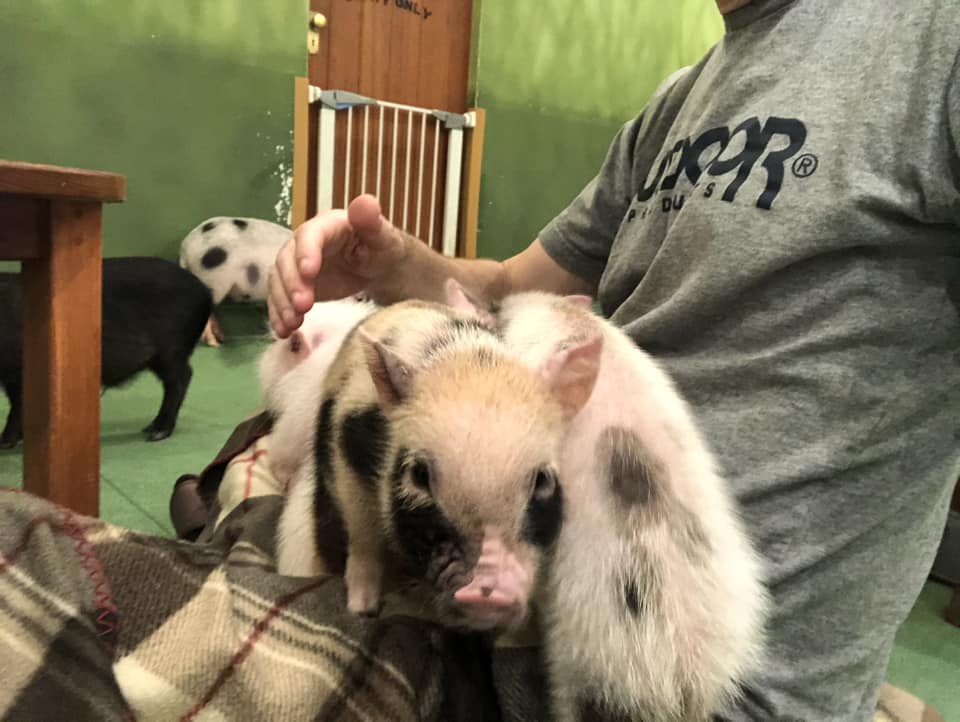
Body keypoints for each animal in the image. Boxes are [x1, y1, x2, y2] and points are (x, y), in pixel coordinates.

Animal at [0, 256, 212, 447]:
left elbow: (18, 404)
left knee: (181, 379)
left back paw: (156, 433)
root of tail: (205, 291)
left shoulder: (19, 371)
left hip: (171, 351)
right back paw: (149, 428)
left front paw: (5, 443)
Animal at [277, 285, 603, 633]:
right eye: (419, 476)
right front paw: (362, 610)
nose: (490, 593)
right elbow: (363, 534)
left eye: (542, 480)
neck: (465, 362)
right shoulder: (346, 456)